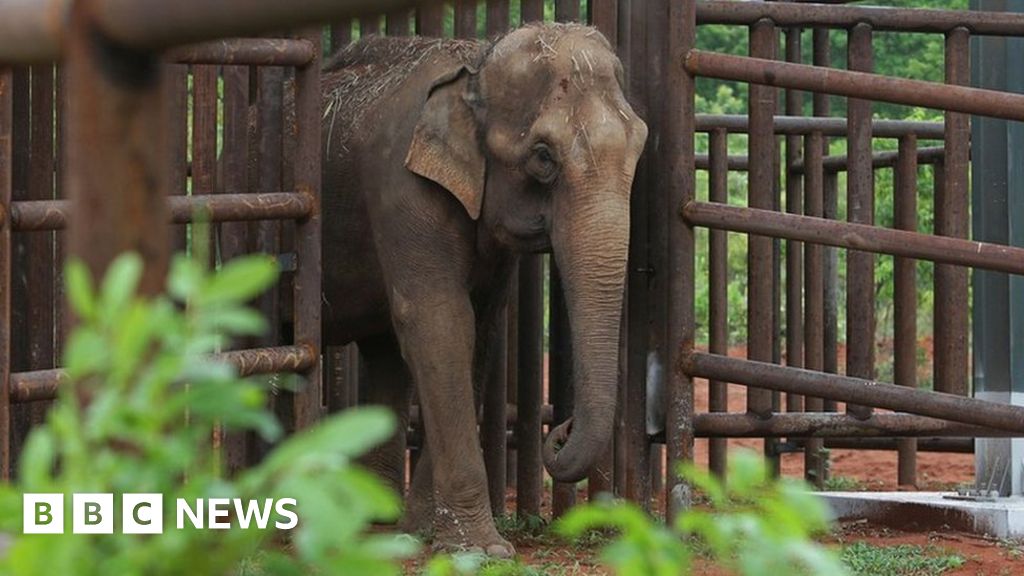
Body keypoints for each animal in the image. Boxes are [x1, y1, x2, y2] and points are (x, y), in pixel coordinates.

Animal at [320, 22, 647, 557]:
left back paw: (376, 520)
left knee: (384, 352)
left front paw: (427, 534)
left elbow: (479, 329)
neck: (474, 67)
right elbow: (441, 322)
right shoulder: (401, 185)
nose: (561, 429)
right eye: (542, 157)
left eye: (640, 146)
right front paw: (483, 550)